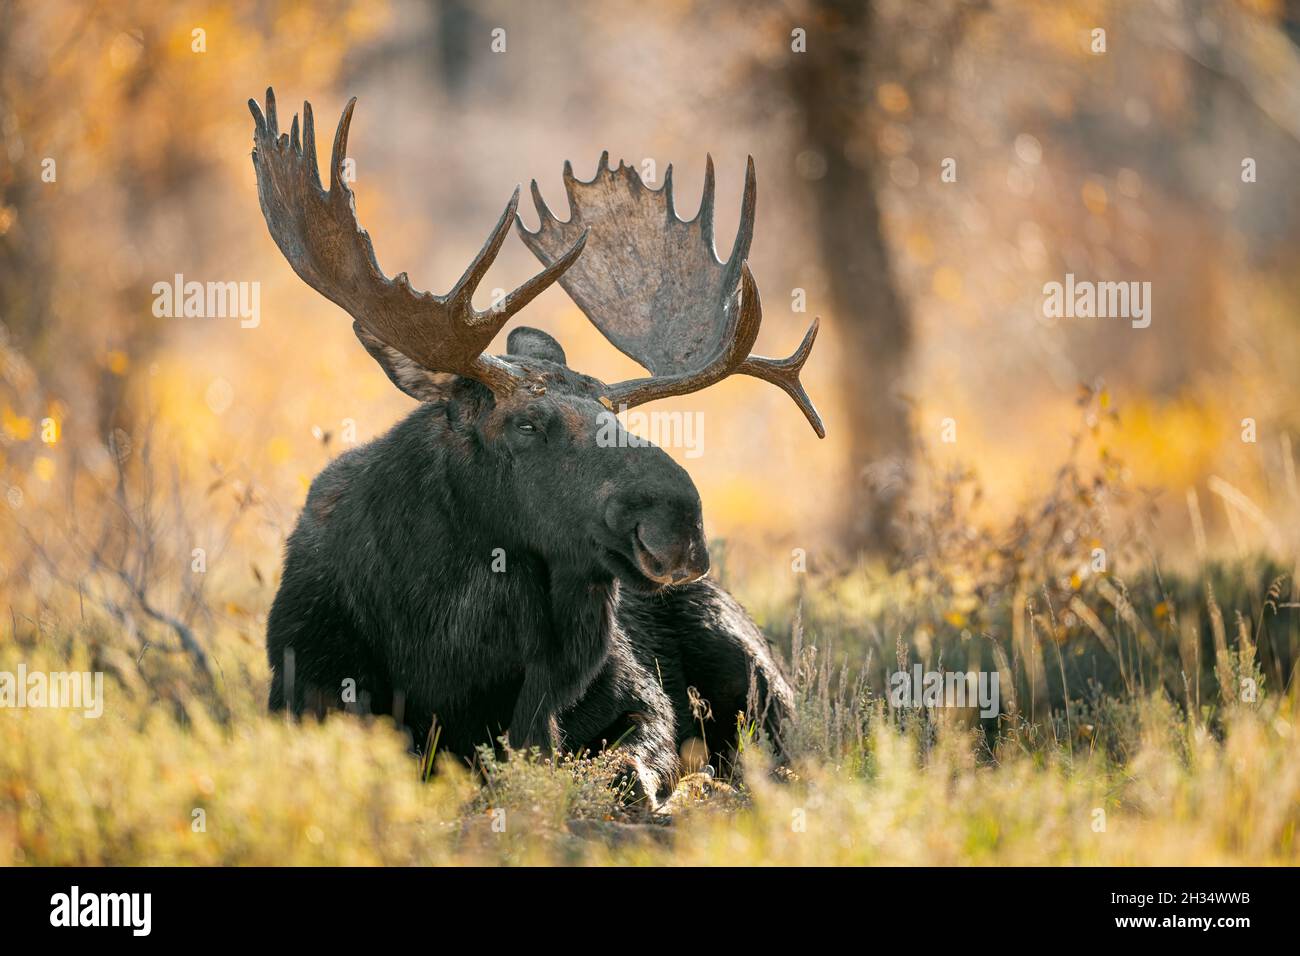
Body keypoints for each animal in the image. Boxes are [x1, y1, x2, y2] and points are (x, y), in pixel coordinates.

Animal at [249, 89, 823, 806]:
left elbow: (628, 770)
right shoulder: (312, 694)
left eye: (614, 412)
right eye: (525, 426)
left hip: (746, 662)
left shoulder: (639, 701)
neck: (447, 649)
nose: (679, 525)